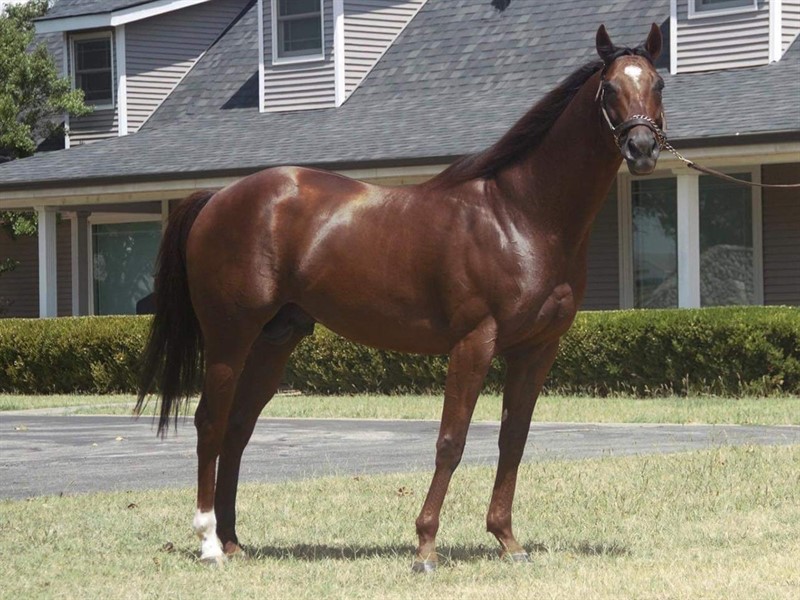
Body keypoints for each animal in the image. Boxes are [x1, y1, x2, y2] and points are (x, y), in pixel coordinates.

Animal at [136, 23, 666, 571]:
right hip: (230, 335)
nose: (643, 148)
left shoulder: (536, 350)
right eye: (609, 89)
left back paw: (233, 539)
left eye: (658, 84)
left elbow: (513, 440)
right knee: (210, 423)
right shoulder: (474, 343)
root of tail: (217, 198)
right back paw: (208, 542)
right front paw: (425, 546)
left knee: (238, 428)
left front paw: (507, 540)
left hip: (274, 340)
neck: (521, 215)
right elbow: (451, 442)